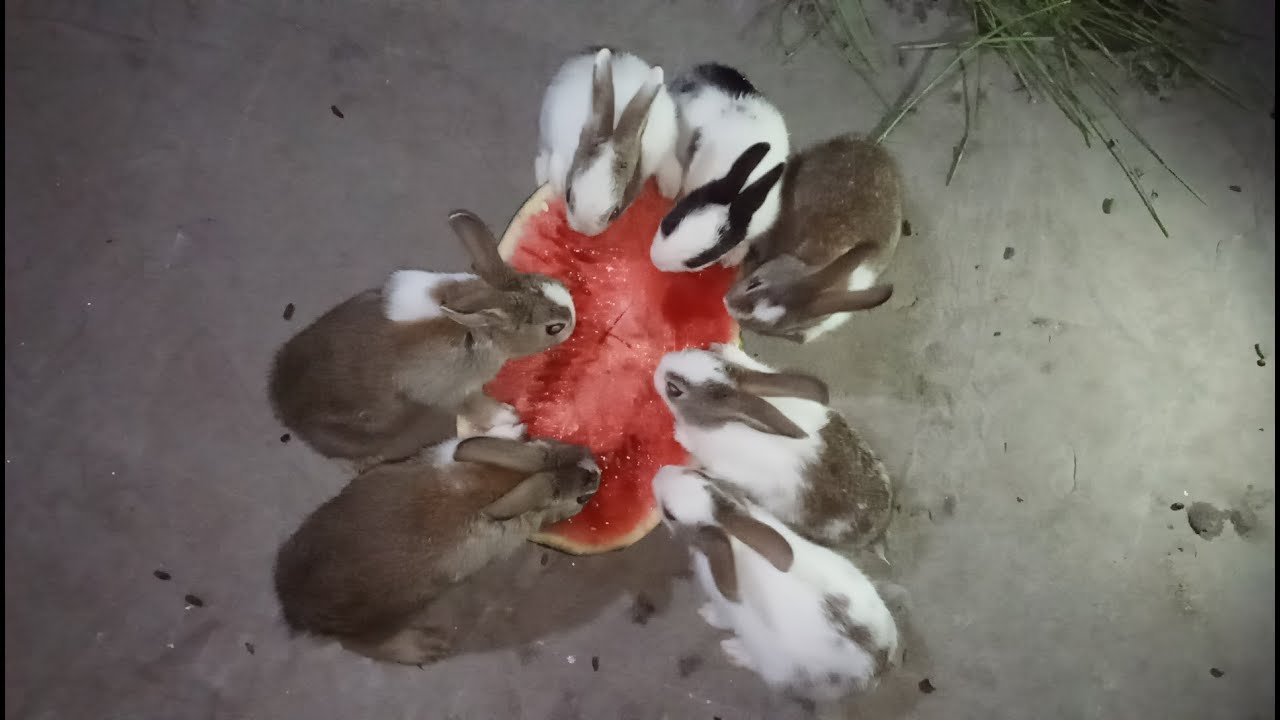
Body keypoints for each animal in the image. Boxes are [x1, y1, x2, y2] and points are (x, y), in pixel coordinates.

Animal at [268, 210, 575, 467]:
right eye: (553, 328)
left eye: (548, 281)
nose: (575, 319)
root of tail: (283, 408)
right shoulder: (449, 392)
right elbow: (475, 406)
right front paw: (508, 416)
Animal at [274, 434, 601, 665]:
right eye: (581, 500)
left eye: (556, 447)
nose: (597, 470)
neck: (502, 484)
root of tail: (297, 609)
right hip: (394, 614)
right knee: (361, 645)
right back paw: (425, 649)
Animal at [650, 63, 789, 272]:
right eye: (670, 222)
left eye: (701, 259)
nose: (655, 259)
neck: (743, 186)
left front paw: (732, 258)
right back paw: (669, 186)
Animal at [652, 465, 900, 700]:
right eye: (699, 473)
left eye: (670, 514)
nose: (657, 475)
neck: (729, 532)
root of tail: (877, 665)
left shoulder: (725, 606)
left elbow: (722, 618)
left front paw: (707, 614)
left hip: (776, 664)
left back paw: (734, 651)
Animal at [654, 343, 892, 554]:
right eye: (699, 352)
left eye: (674, 389)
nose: (658, 366)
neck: (723, 421)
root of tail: (878, 529)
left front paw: (678, 433)